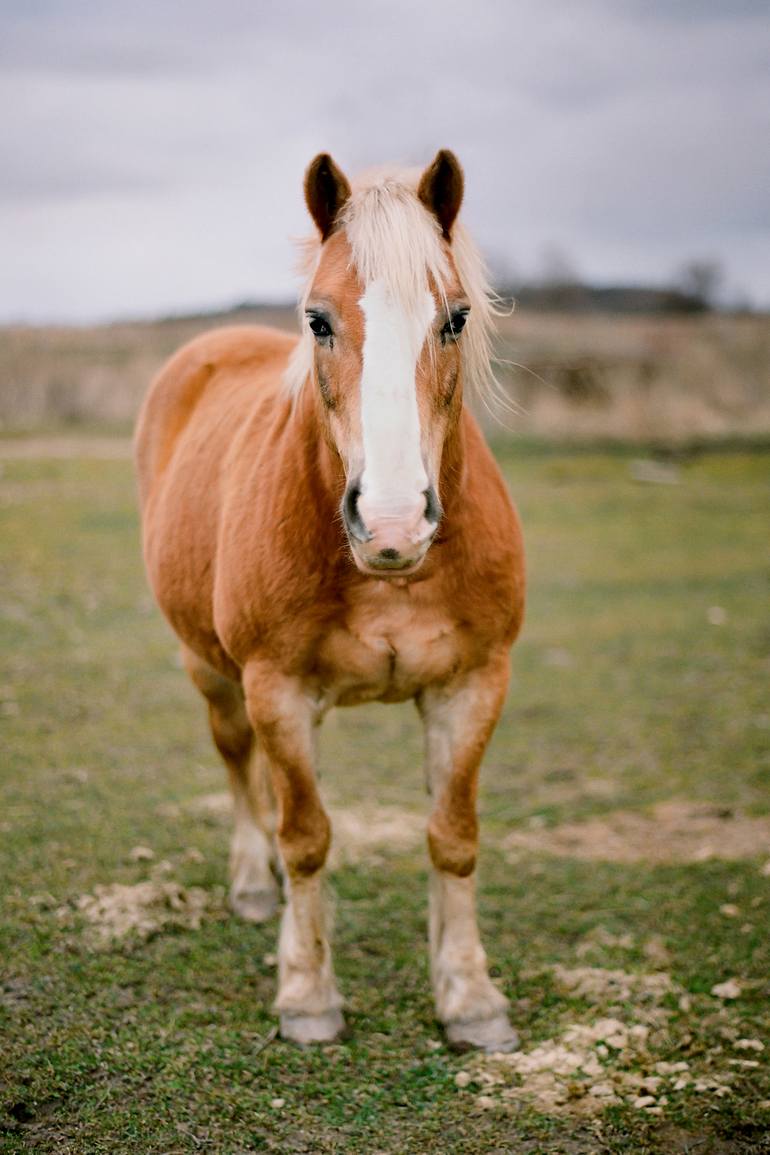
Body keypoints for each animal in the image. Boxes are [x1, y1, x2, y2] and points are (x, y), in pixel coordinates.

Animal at [135, 148, 526, 1053]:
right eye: (317, 320)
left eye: (455, 318)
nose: (392, 520)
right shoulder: (276, 688)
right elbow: (308, 837)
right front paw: (308, 993)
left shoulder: (473, 686)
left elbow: (453, 837)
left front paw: (469, 994)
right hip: (212, 671)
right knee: (240, 765)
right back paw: (254, 884)